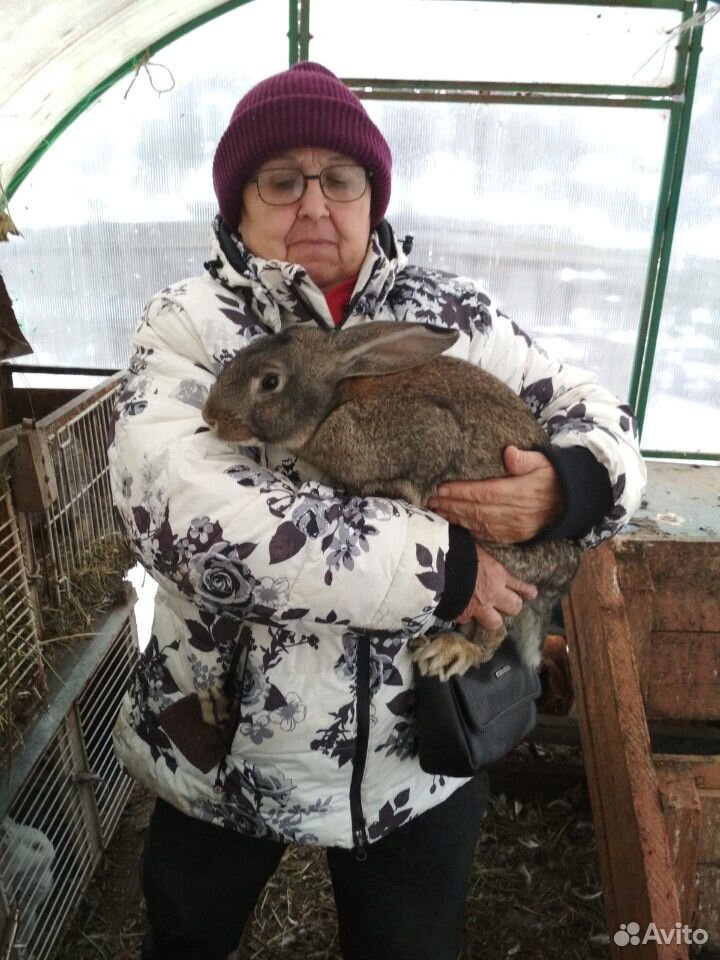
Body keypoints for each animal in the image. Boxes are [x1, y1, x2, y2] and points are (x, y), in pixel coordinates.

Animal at [202, 321, 582, 681]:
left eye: (270, 381)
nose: (210, 416)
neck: (334, 402)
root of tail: (561, 581)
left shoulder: (429, 433)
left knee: (496, 631)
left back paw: (451, 652)